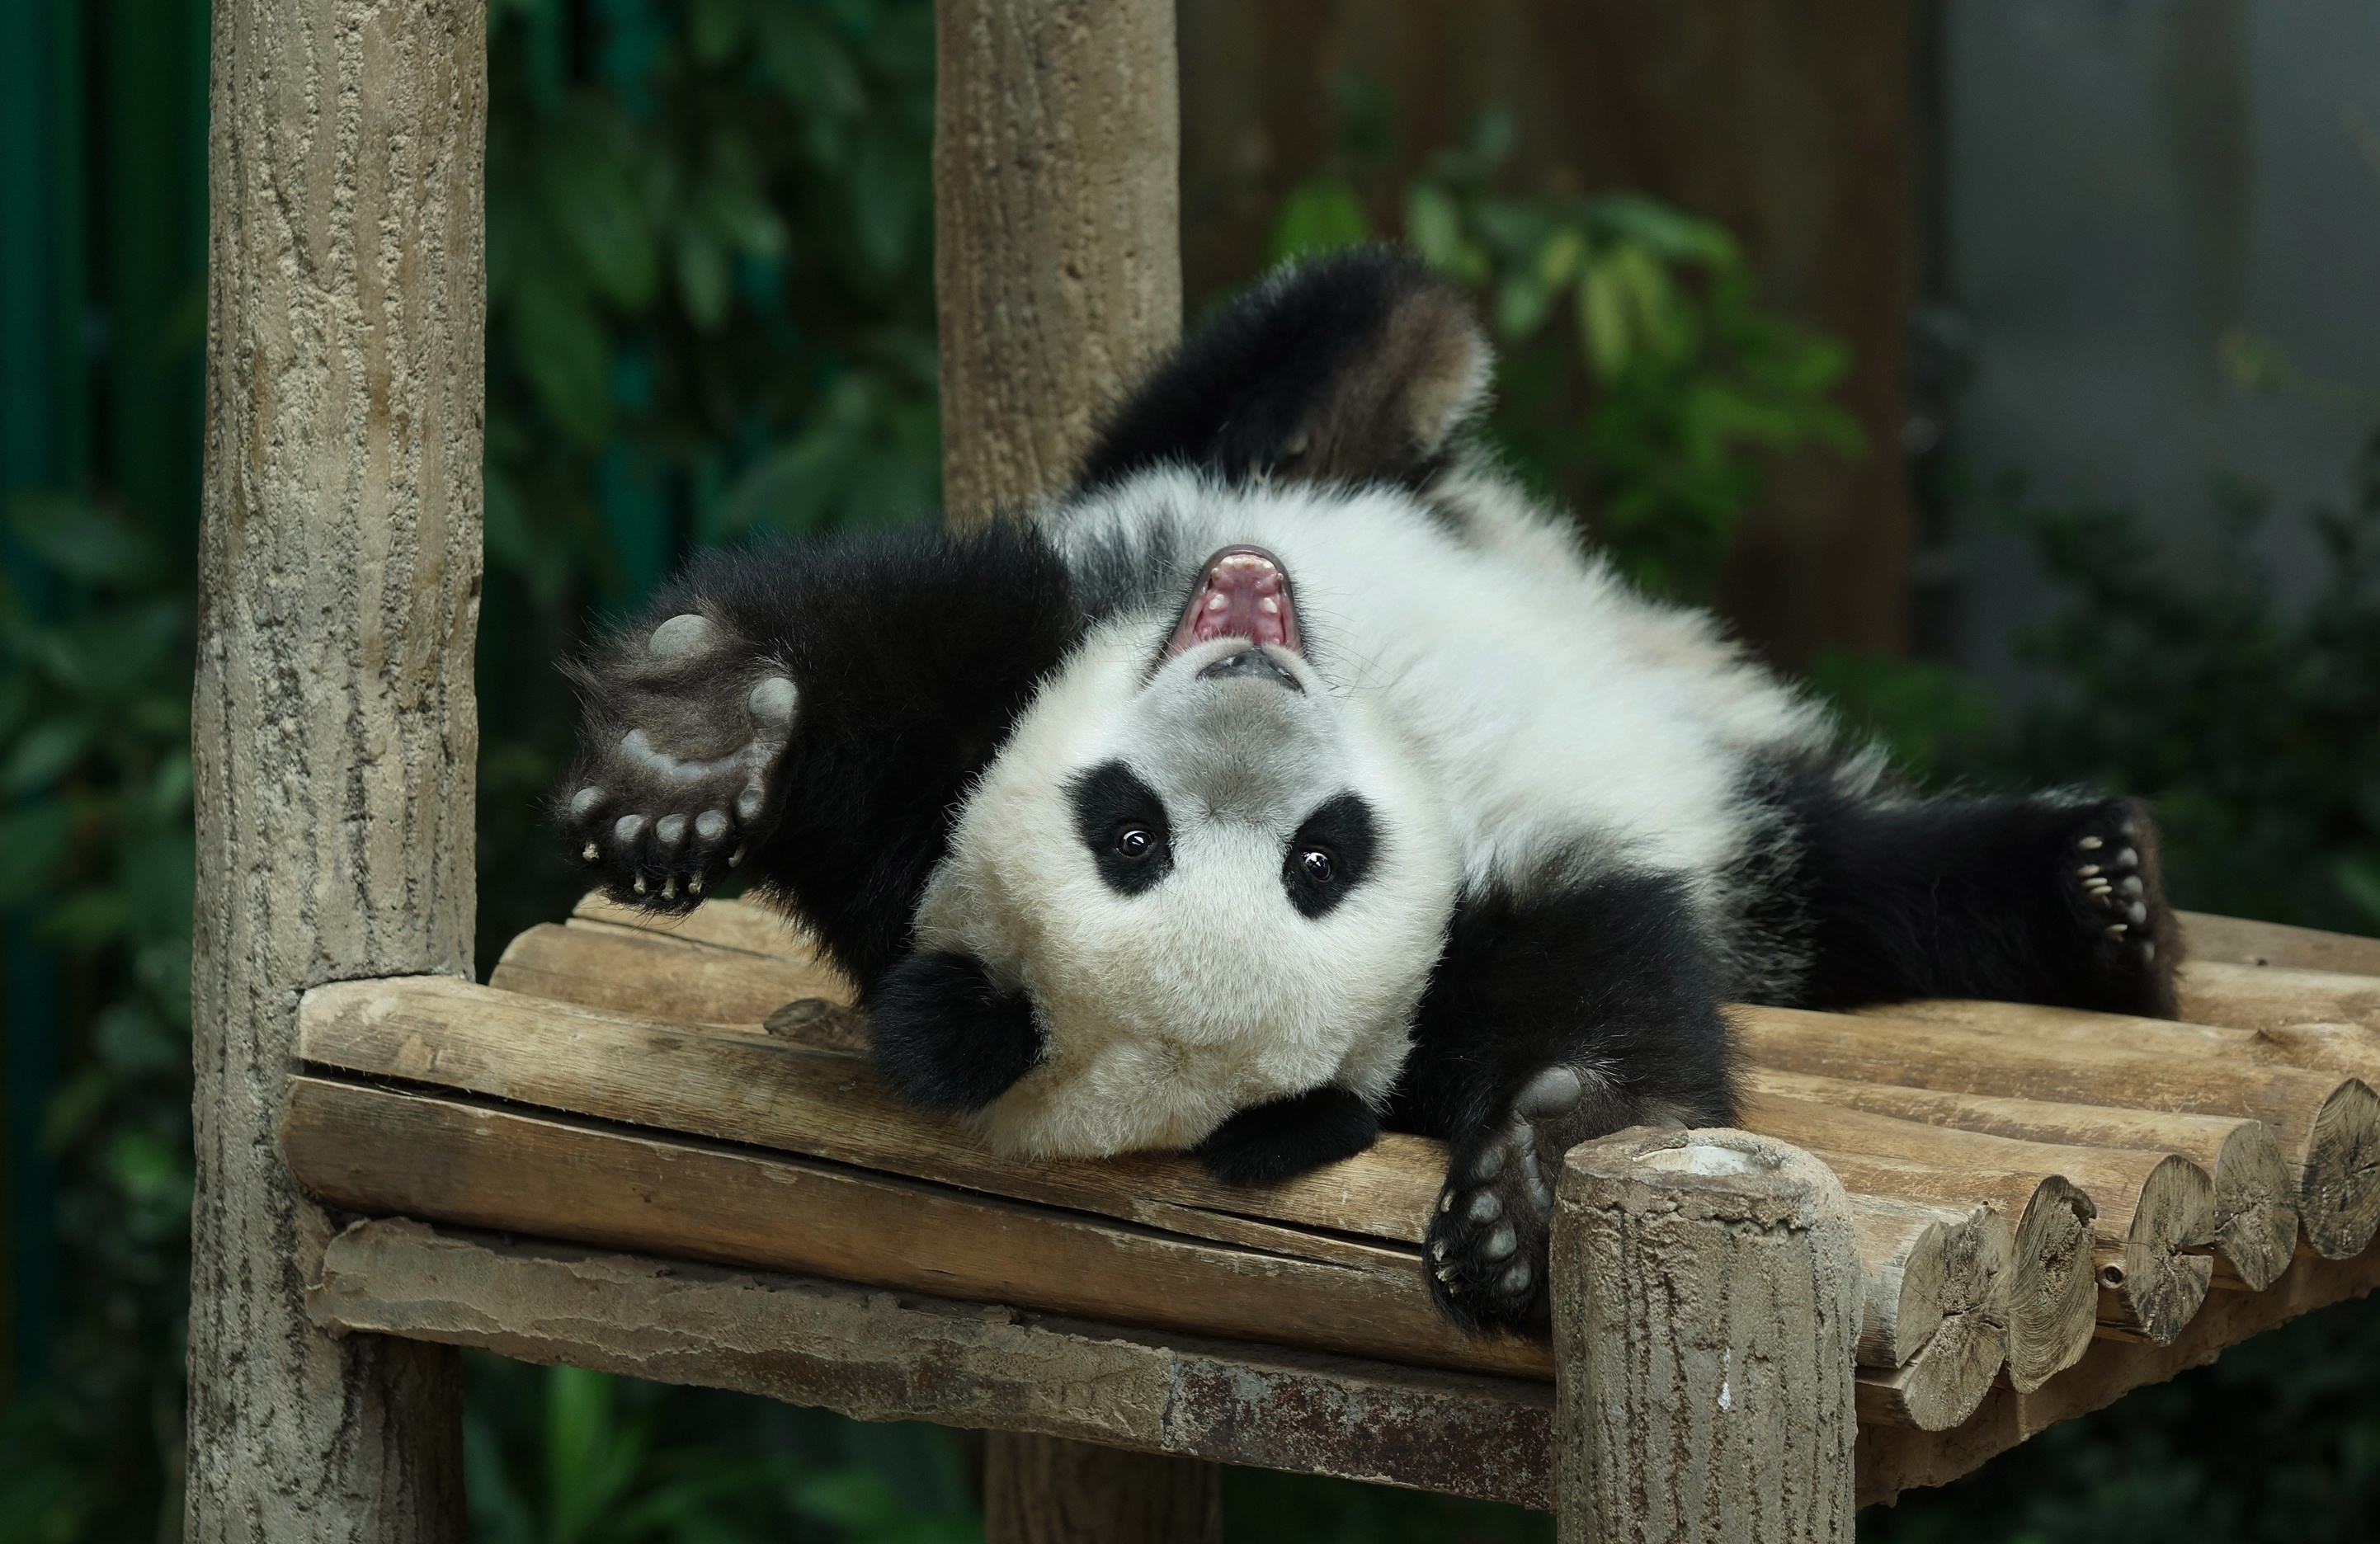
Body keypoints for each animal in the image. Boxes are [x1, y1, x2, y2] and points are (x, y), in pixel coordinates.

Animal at [556, 249, 2179, 1334]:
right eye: (1137, 837)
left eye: (1315, 856)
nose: (1255, 688)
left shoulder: (1052, 649)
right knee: (1857, 883)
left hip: (1283, 457)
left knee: (1367, 323)